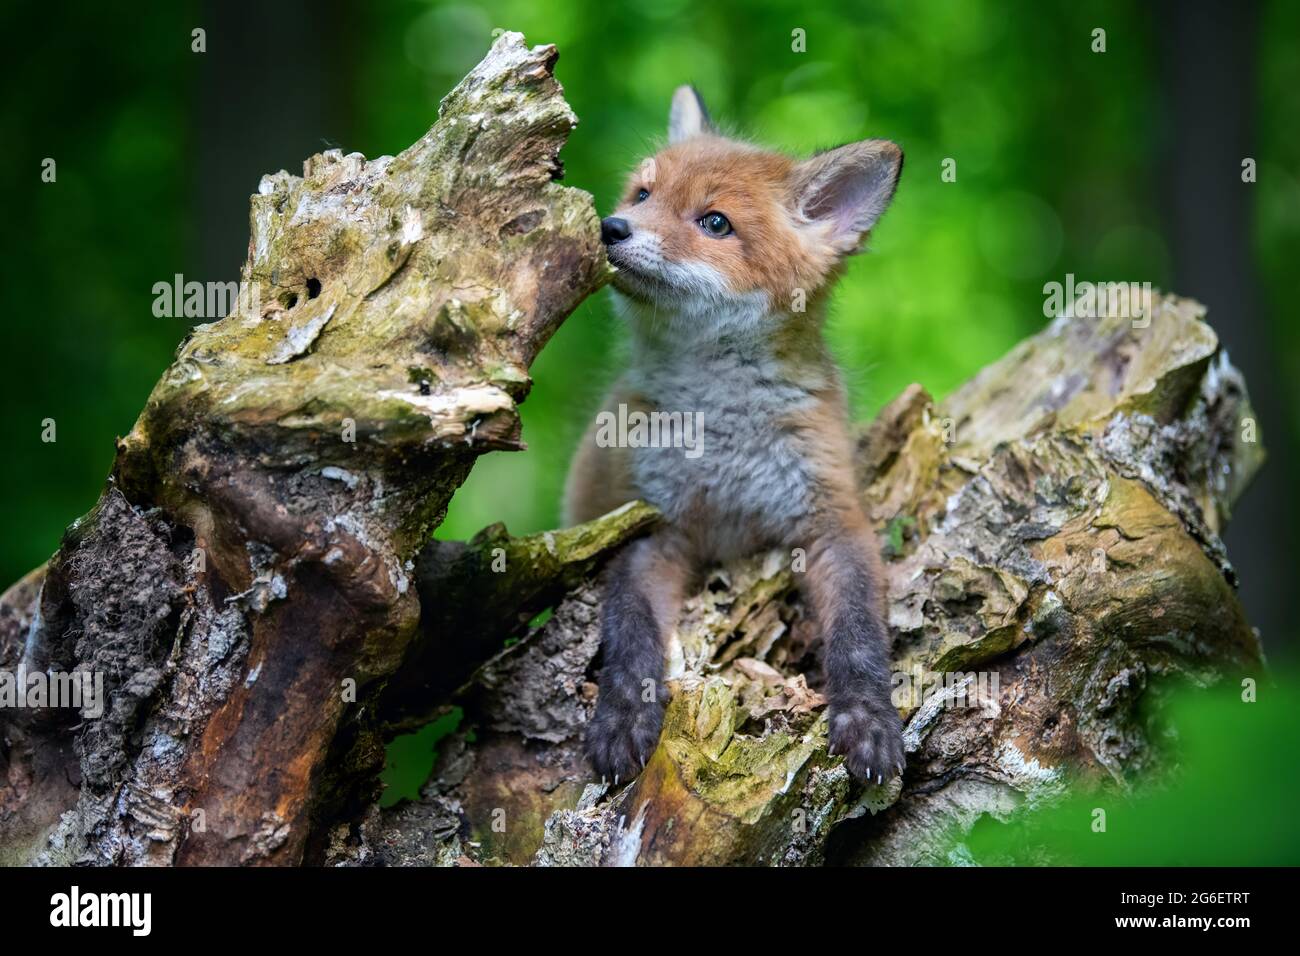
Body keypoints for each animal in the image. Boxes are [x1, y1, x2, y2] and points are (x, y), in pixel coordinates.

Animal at [564, 85, 905, 785]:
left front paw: (868, 717)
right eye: (643, 194)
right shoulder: (648, 526)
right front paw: (623, 717)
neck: (723, 437)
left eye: (715, 223)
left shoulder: (834, 518)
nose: (612, 228)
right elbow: (631, 632)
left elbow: (860, 633)